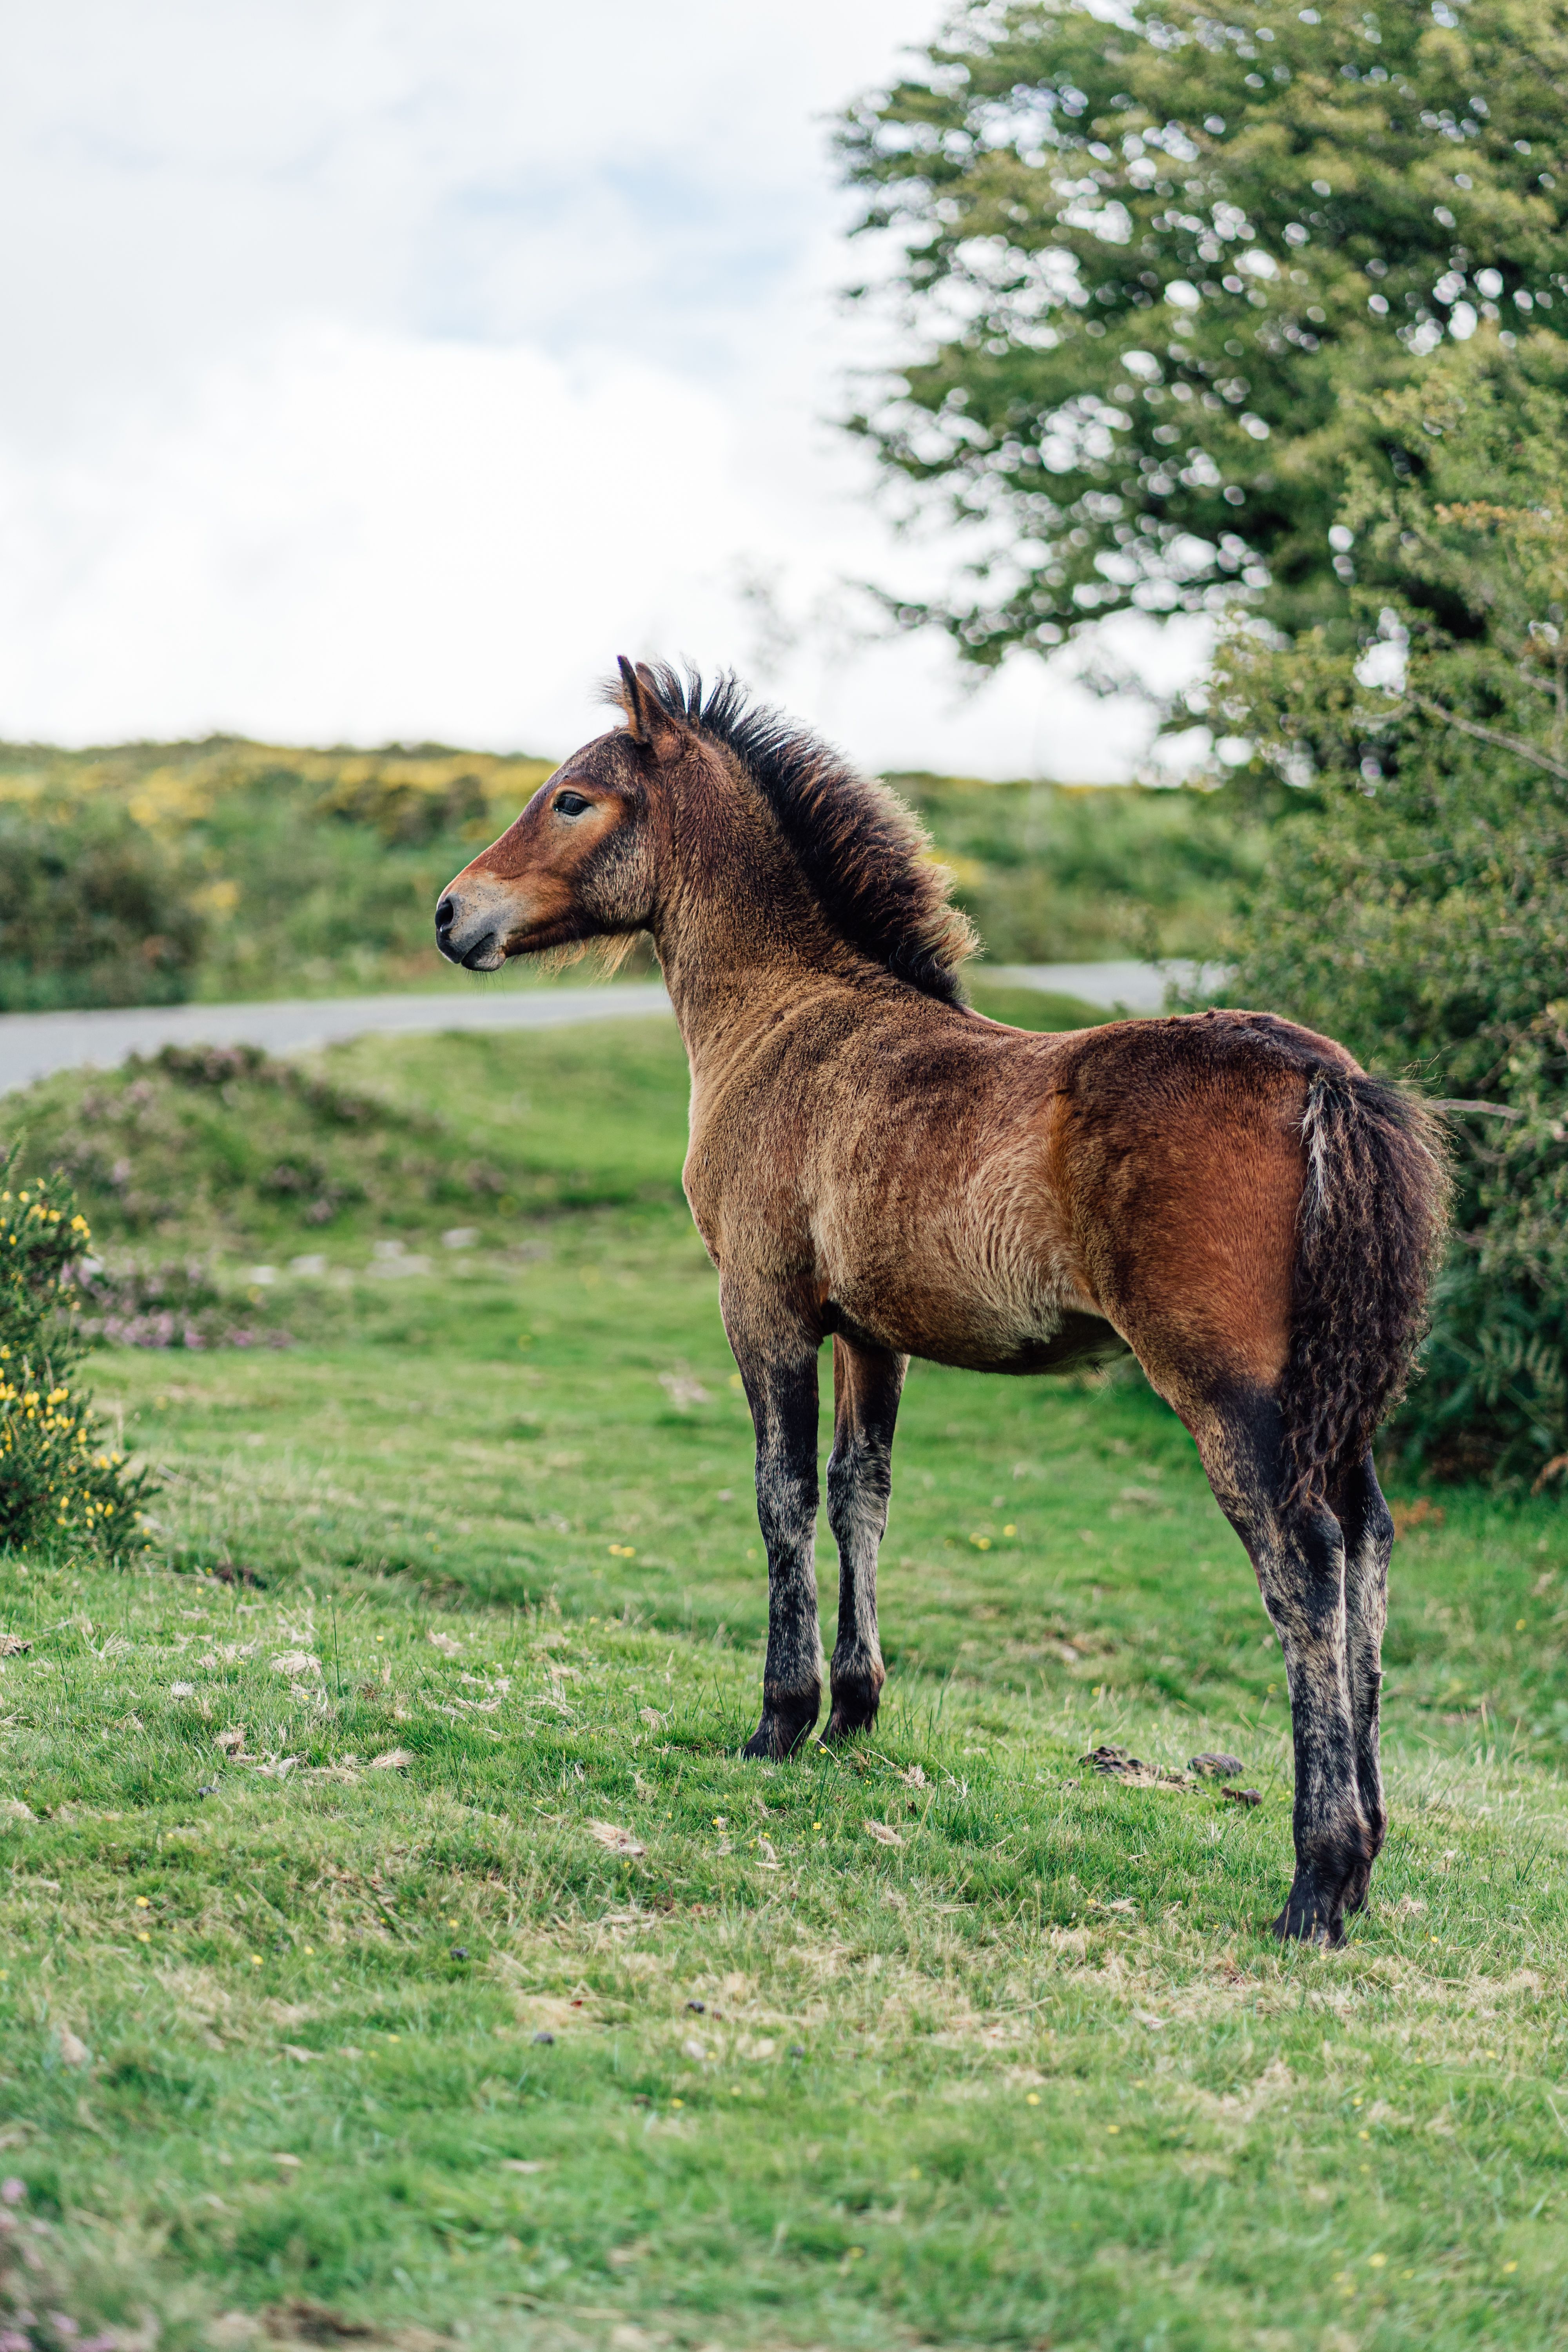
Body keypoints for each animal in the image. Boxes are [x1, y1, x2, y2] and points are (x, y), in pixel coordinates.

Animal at [435, 659, 1448, 1946]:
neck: (788, 1019)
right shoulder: (873, 1337)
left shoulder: (761, 1306)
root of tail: (1324, 1076)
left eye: (571, 798)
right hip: (1341, 1403)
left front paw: (778, 1718)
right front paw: (854, 1710)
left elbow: (779, 1495)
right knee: (1368, 1551)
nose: (450, 914)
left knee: (1304, 1570)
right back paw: (1363, 1860)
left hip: (1230, 1393)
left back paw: (1315, 1883)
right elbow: (858, 1495)